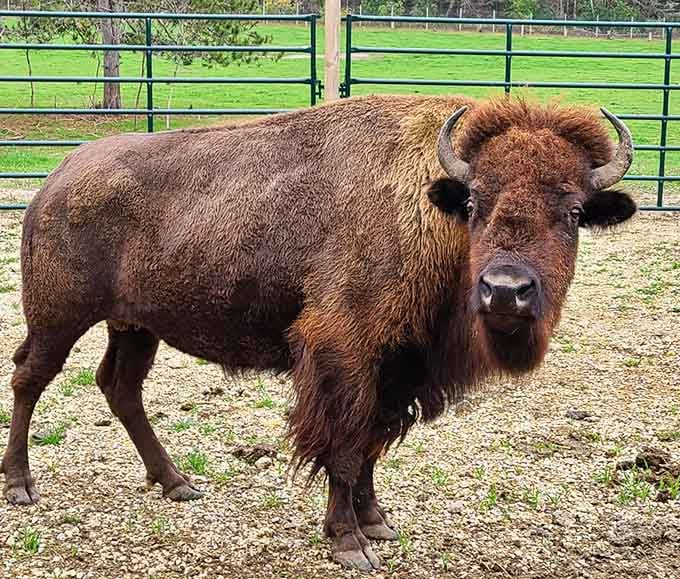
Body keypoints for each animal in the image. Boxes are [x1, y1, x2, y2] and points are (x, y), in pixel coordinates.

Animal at [1, 95, 636, 570]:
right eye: (476, 202)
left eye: (574, 212)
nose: (505, 290)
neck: (432, 209)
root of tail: (58, 178)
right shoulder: (344, 355)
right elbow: (344, 447)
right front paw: (348, 541)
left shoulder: (396, 368)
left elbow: (372, 446)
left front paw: (377, 522)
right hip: (58, 316)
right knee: (30, 376)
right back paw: (21, 484)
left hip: (135, 325)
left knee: (121, 387)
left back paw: (176, 482)